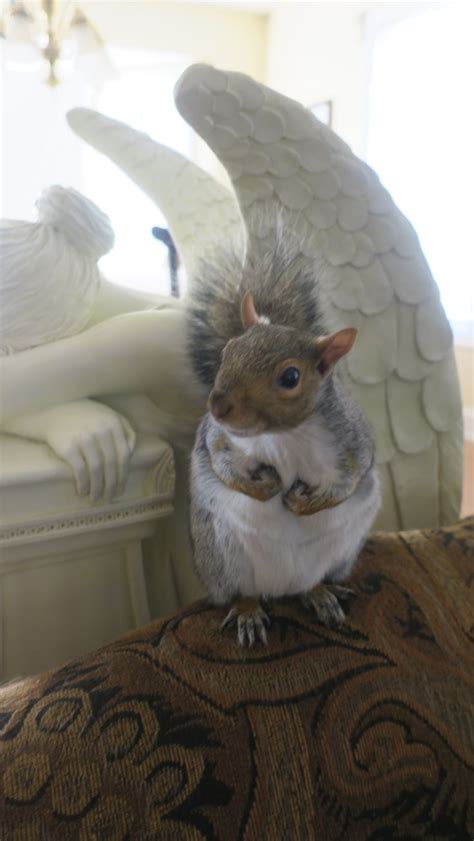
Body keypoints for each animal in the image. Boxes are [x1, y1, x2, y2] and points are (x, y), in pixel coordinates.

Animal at [188, 242, 380, 646]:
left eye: (291, 377)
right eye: (228, 351)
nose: (218, 405)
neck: (283, 436)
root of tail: (281, 588)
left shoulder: (351, 444)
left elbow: (349, 481)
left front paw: (302, 503)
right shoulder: (219, 437)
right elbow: (221, 465)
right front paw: (266, 487)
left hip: (340, 554)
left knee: (311, 585)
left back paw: (320, 595)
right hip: (222, 558)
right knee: (242, 593)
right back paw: (248, 612)